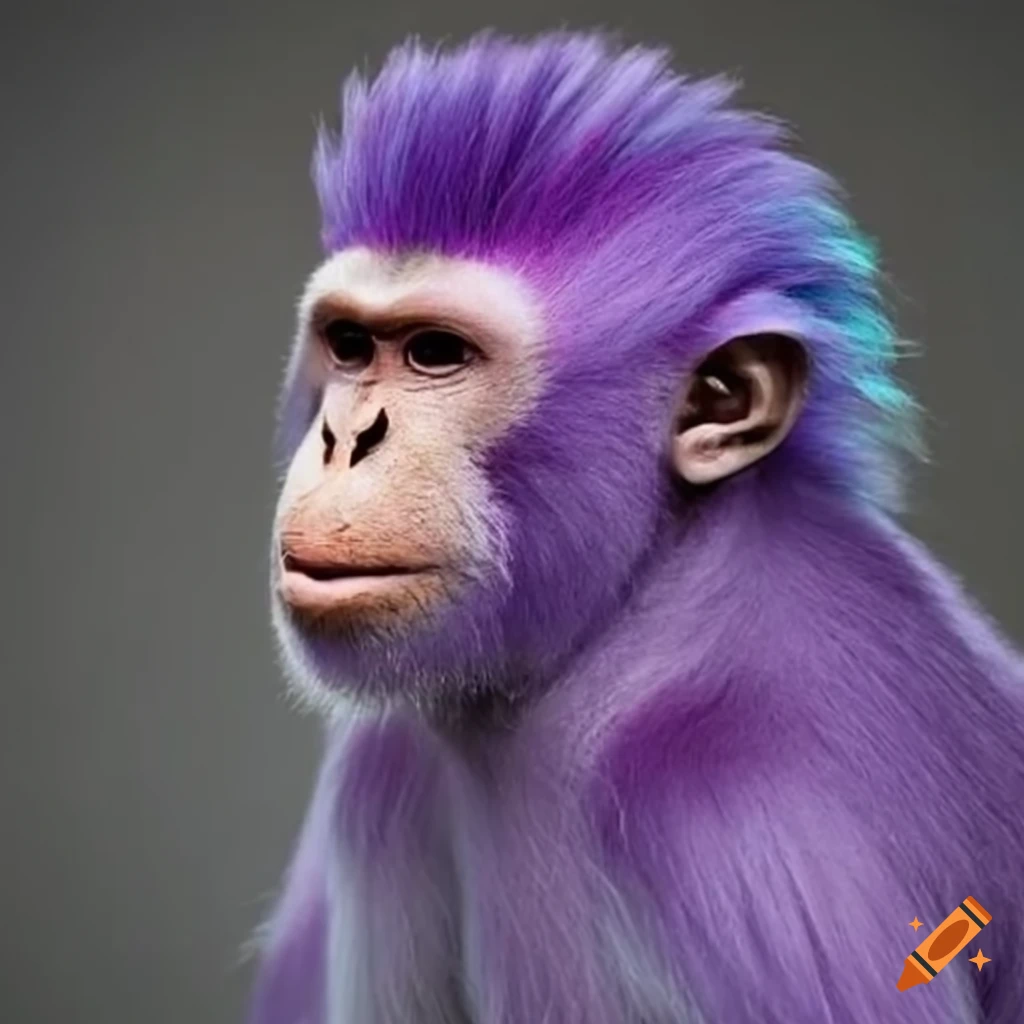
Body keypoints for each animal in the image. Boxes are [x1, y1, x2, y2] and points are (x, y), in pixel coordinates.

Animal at [247, 31, 1024, 1024]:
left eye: (435, 354)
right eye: (350, 346)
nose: (346, 438)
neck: (645, 631)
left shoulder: (738, 837)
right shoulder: (382, 771)